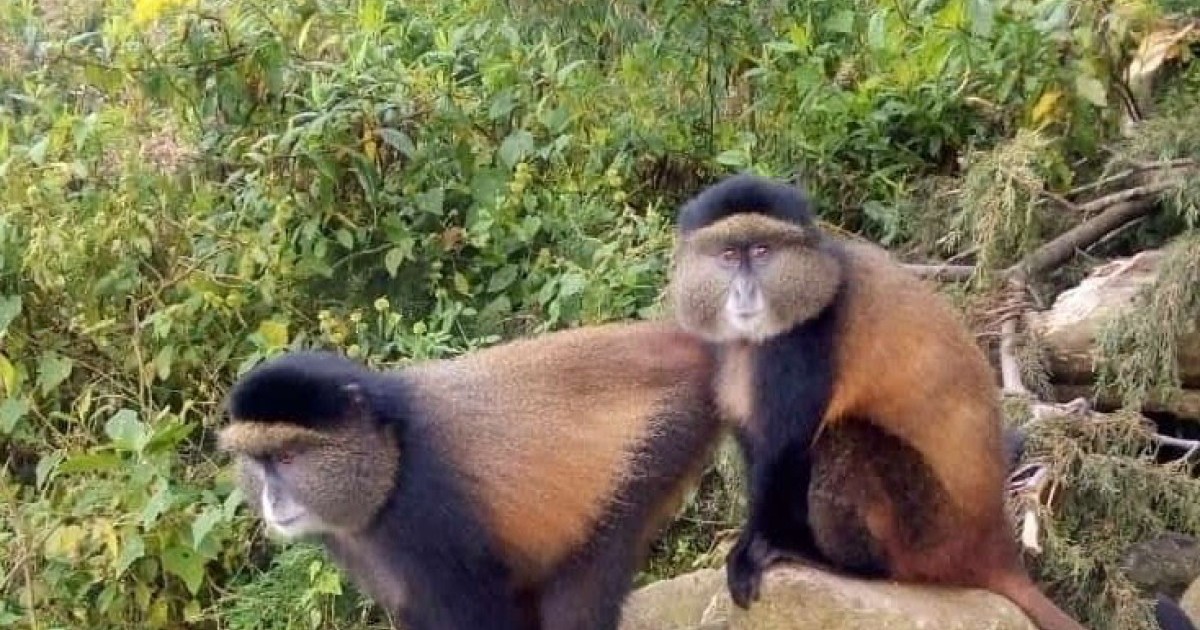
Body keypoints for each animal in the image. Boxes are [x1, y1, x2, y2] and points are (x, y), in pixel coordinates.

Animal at [216, 321, 722, 630]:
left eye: (287, 458)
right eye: (259, 462)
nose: (273, 501)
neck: (391, 455)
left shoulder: (428, 516)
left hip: (656, 448)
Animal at [665, 173, 1089, 630]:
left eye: (762, 251)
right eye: (728, 255)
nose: (744, 292)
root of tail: (995, 540)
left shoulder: (802, 345)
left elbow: (782, 451)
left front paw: (753, 551)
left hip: (927, 527)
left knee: (845, 436)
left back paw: (840, 563)